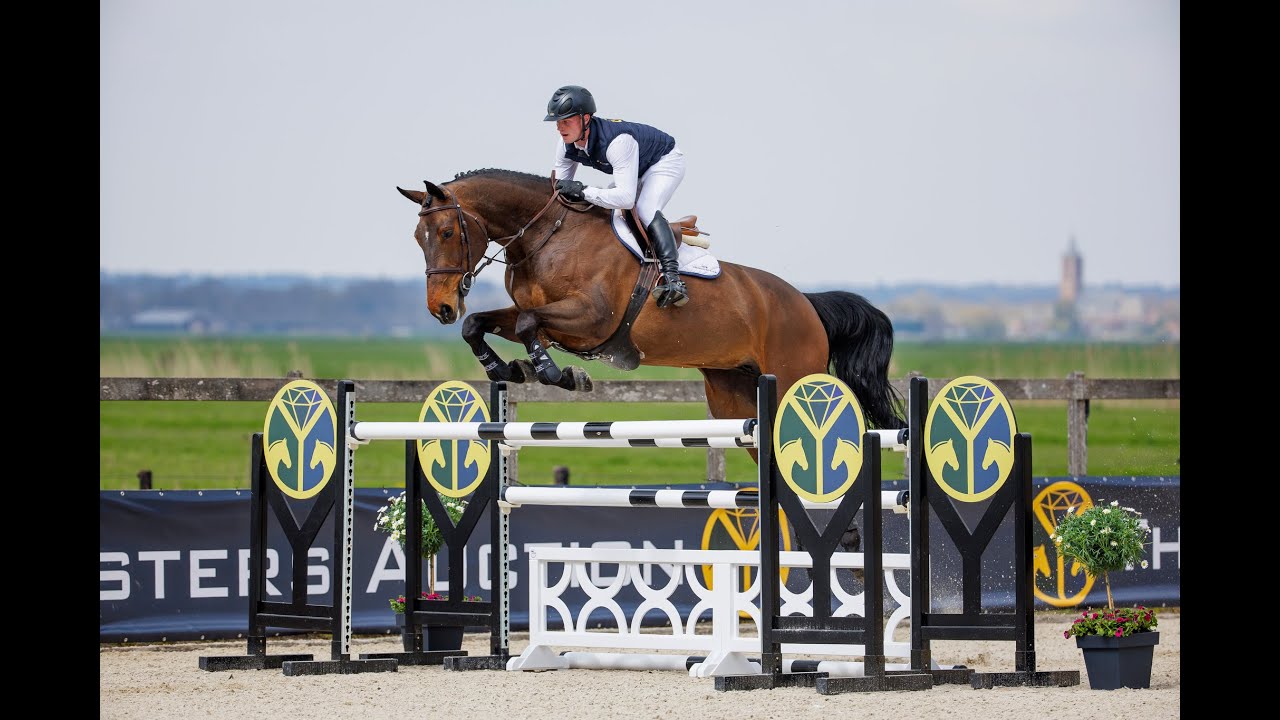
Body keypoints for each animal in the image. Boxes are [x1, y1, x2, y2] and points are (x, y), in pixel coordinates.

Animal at [396, 168, 906, 439]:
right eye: (418, 237)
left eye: (447, 232)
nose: (440, 309)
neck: (547, 235)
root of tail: (806, 303)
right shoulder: (541, 314)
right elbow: (483, 325)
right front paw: (508, 370)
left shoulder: (591, 320)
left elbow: (526, 325)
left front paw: (560, 375)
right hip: (733, 397)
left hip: (790, 381)